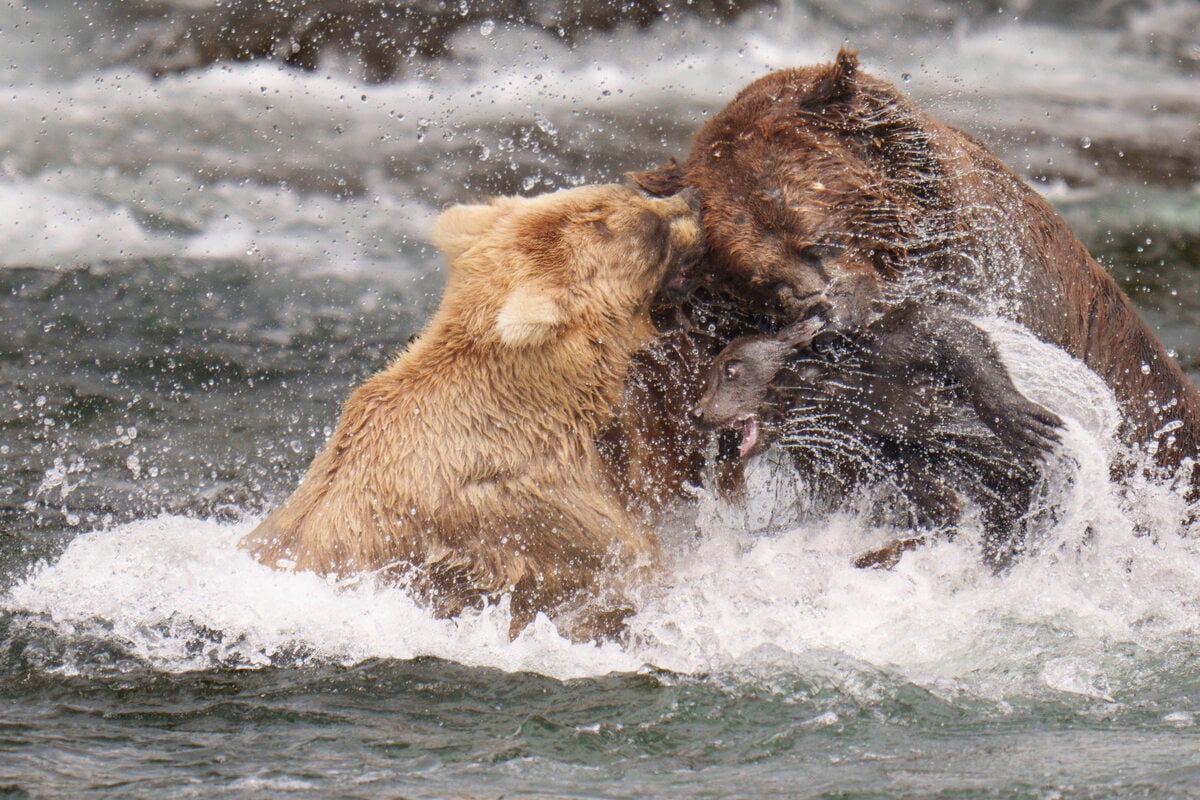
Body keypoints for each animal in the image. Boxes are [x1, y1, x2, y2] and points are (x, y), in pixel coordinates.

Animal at [690, 303, 1064, 568]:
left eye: (731, 368)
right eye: (710, 375)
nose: (697, 412)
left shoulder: (889, 353)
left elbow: (948, 330)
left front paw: (1020, 419)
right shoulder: (888, 449)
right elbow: (942, 509)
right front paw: (875, 555)